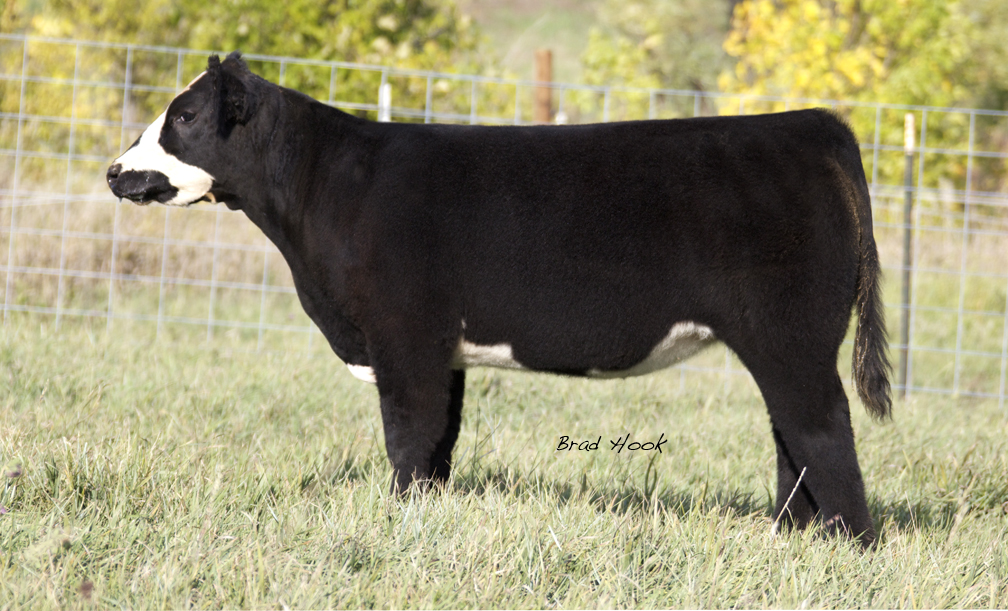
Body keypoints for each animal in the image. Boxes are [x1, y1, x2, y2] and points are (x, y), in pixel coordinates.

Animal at [107, 53, 891, 546]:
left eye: (183, 118)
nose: (114, 170)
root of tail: (811, 123)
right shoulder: (439, 349)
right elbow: (439, 442)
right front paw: (426, 514)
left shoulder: (405, 338)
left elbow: (409, 435)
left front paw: (400, 520)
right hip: (784, 344)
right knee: (793, 438)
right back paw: (793, 536)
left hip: (792, 338)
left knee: (823, 430)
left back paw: (850, 544)